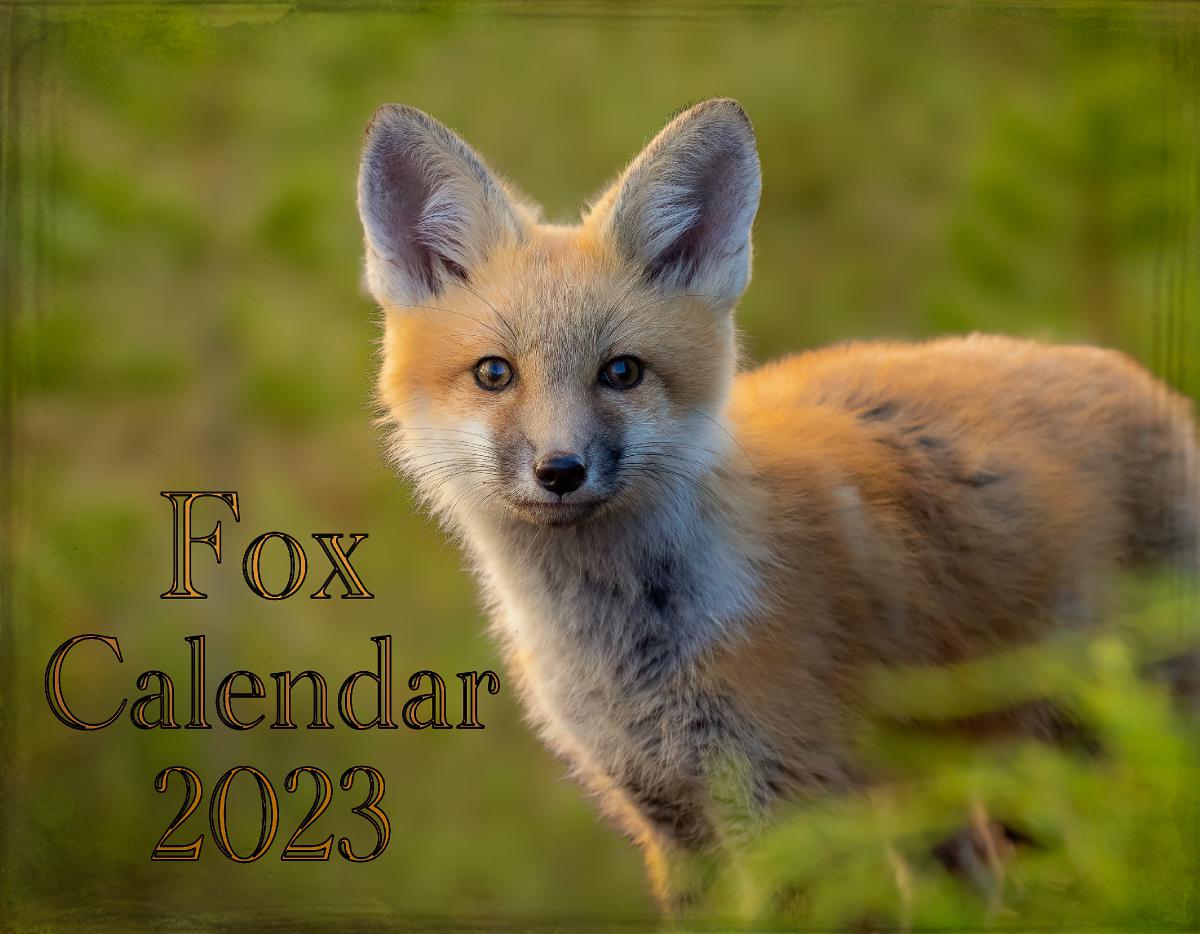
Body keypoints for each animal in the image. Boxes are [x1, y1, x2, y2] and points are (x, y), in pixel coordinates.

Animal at [355, 98, 1199, 910]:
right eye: (495, 374)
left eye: (621, 372)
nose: (560, 470)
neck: (631, 658)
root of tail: (1145, 380)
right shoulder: (669, 823)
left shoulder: (793, 813)